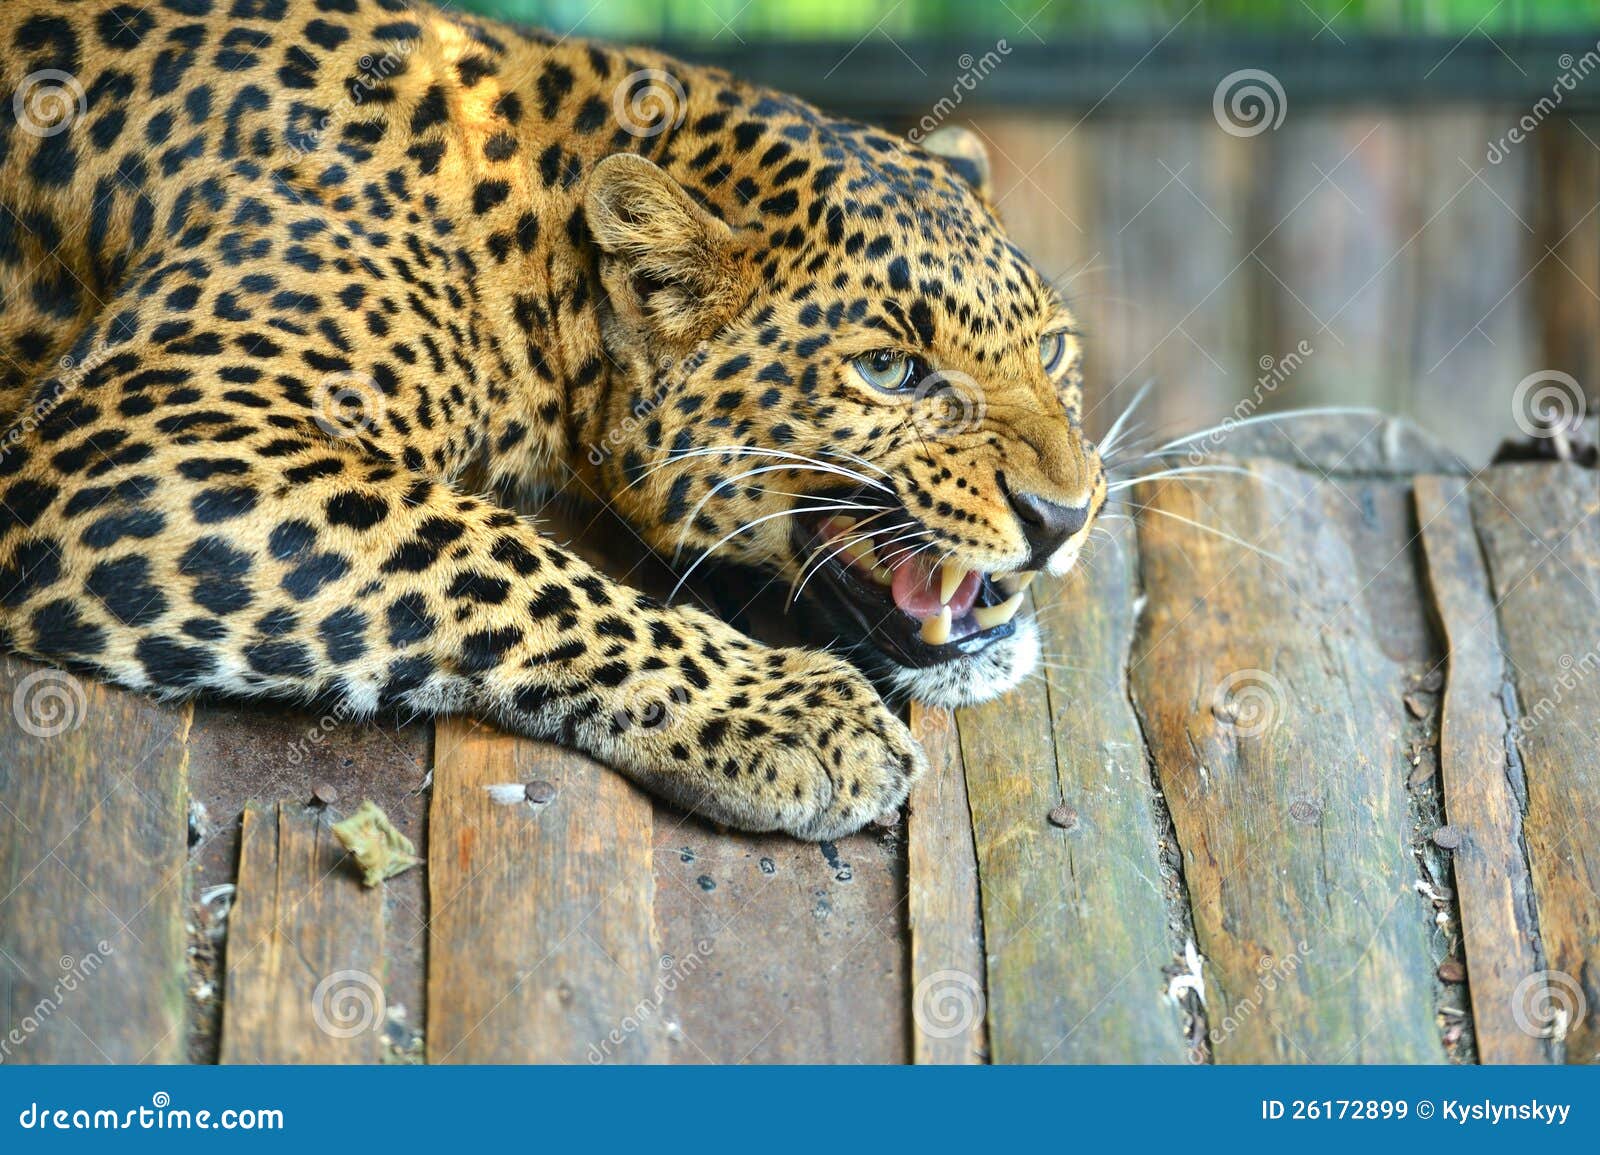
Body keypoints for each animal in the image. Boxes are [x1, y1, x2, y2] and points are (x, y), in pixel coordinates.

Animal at [0, 0, 1105, 840]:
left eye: (1052, 352)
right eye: (888, 369)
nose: (1063, 517)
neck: (534, 218)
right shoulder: (150, 432)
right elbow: (493, 554)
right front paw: (789, 716)